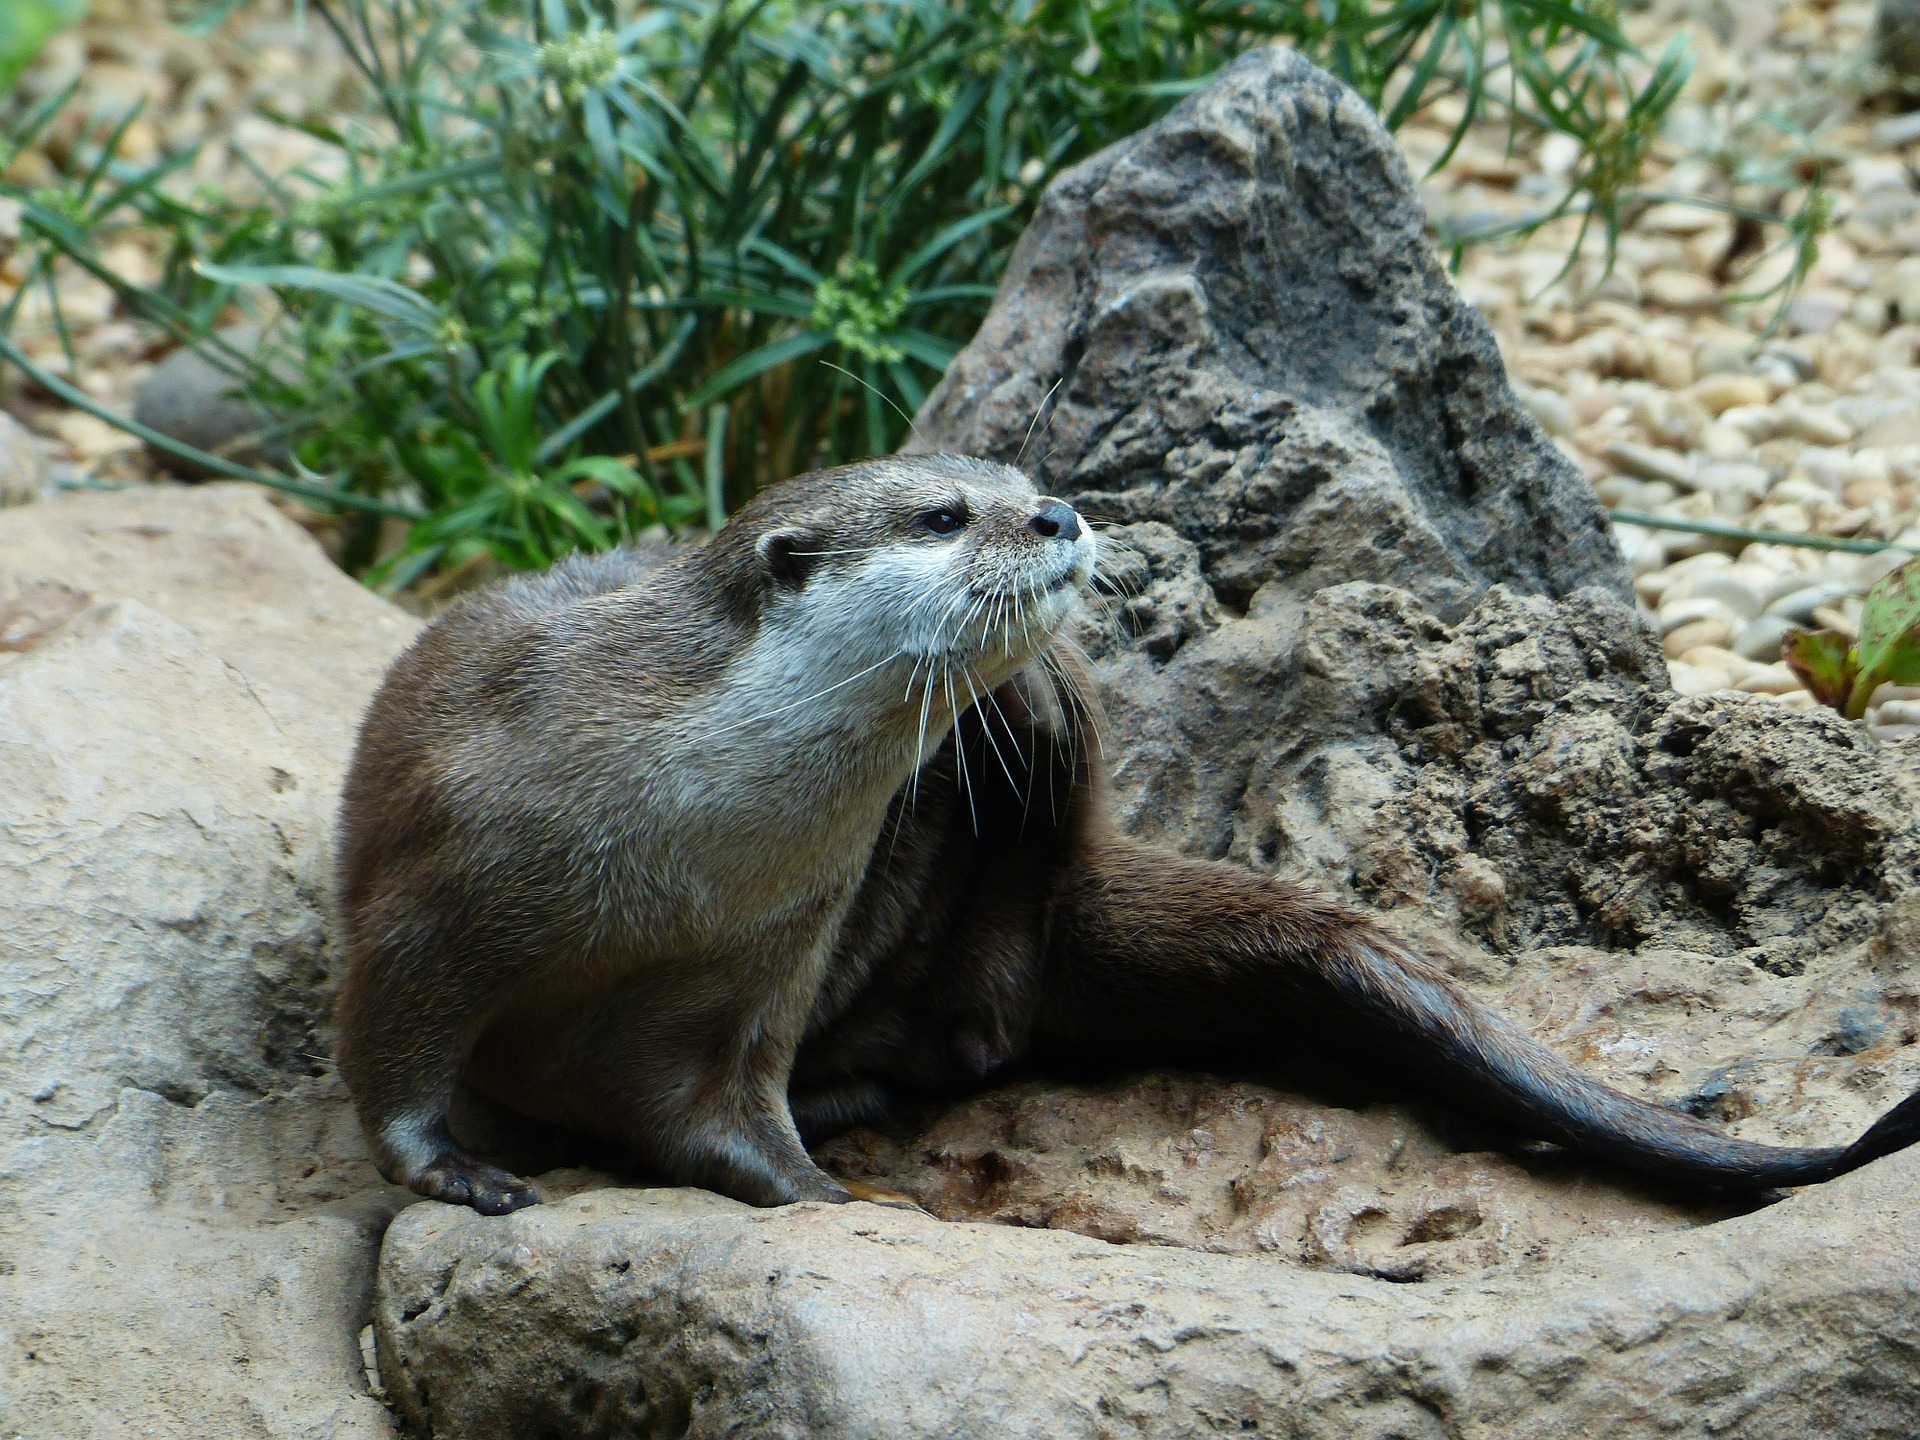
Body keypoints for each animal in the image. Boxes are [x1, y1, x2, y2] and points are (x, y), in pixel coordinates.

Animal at [334, 455, 1920, 1215]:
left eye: (1008, 472)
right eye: (942, 512)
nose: (1055, 511)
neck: (679, 839)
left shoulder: (764, 967)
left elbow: (724, 1119)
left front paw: (828, 1189)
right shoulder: (440, 882)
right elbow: (394, 1051)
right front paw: (458, 1174)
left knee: (985, 1016)